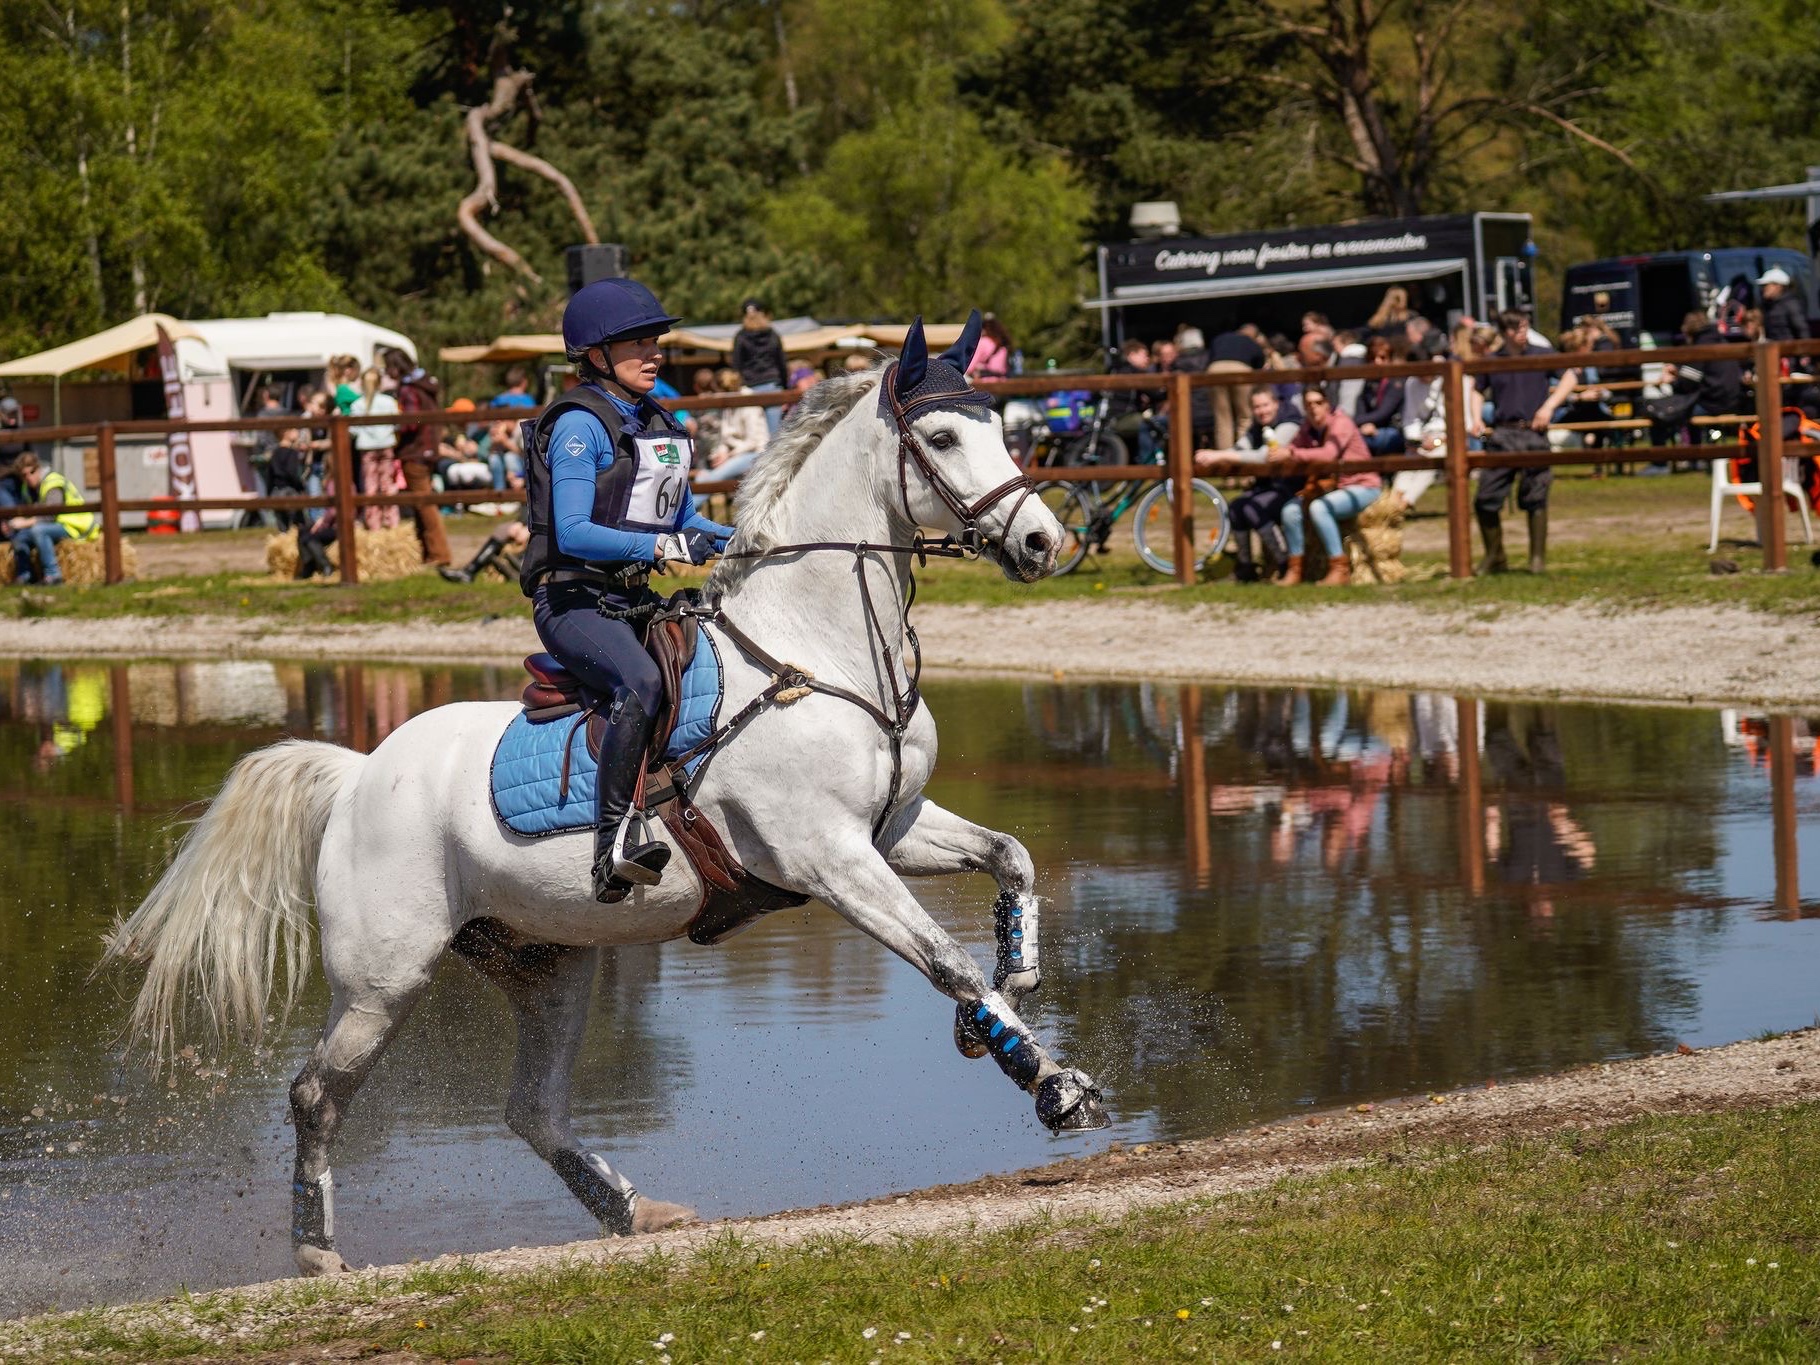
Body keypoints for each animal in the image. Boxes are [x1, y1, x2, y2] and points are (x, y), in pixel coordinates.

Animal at [101, 316, 1108, 1278]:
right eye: (941, 436)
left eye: (1000, 427)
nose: (1043, 542)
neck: (816, 647)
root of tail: (357, 775)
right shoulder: (829, 856)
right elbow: (945, 959)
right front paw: (1053, 1083)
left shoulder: (893, 829)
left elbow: (1011, 861)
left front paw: (1012, 989)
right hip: (384, 978)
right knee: (317, 1094)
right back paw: (317, 1251)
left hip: (549, 964)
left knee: (531, 1110)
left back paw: (637, 1210)